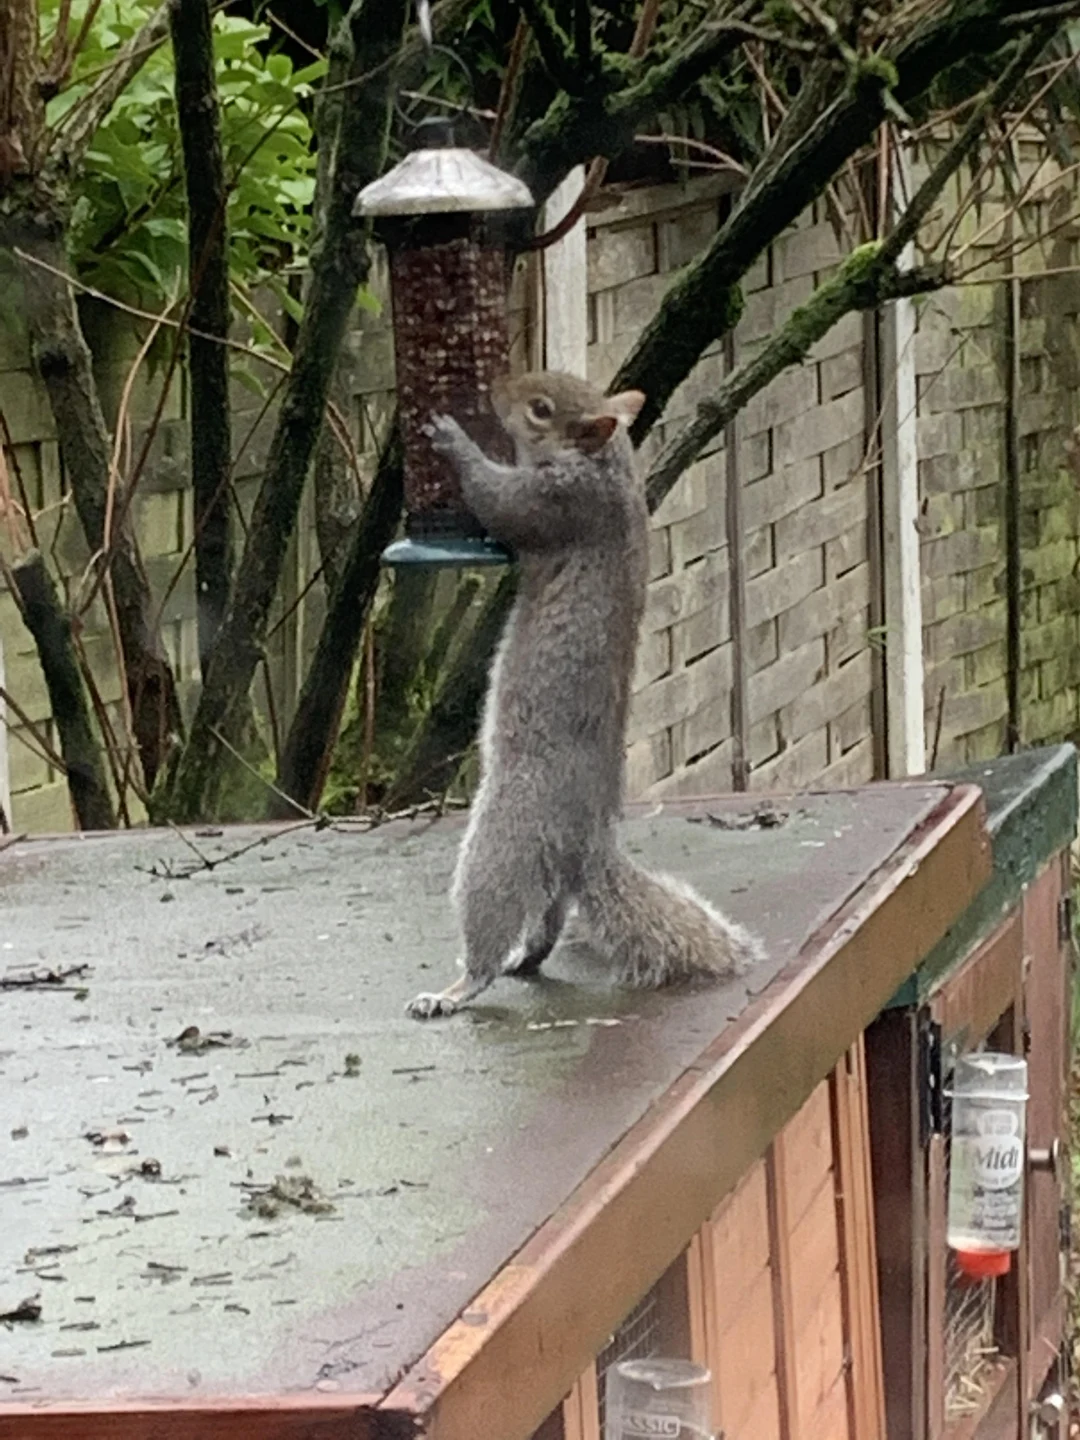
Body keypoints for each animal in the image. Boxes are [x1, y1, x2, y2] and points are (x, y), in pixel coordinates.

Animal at [407, 371, 764, 1020]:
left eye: (540, 409)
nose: (495, 390)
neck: (609, 467)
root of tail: (586, 846)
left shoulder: (561, 504)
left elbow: (502, 504)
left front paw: (454, 441)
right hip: (546, 875)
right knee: (547, 920)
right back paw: (523, 958)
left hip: (505, 836)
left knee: (489, 928)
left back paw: (457, 988)